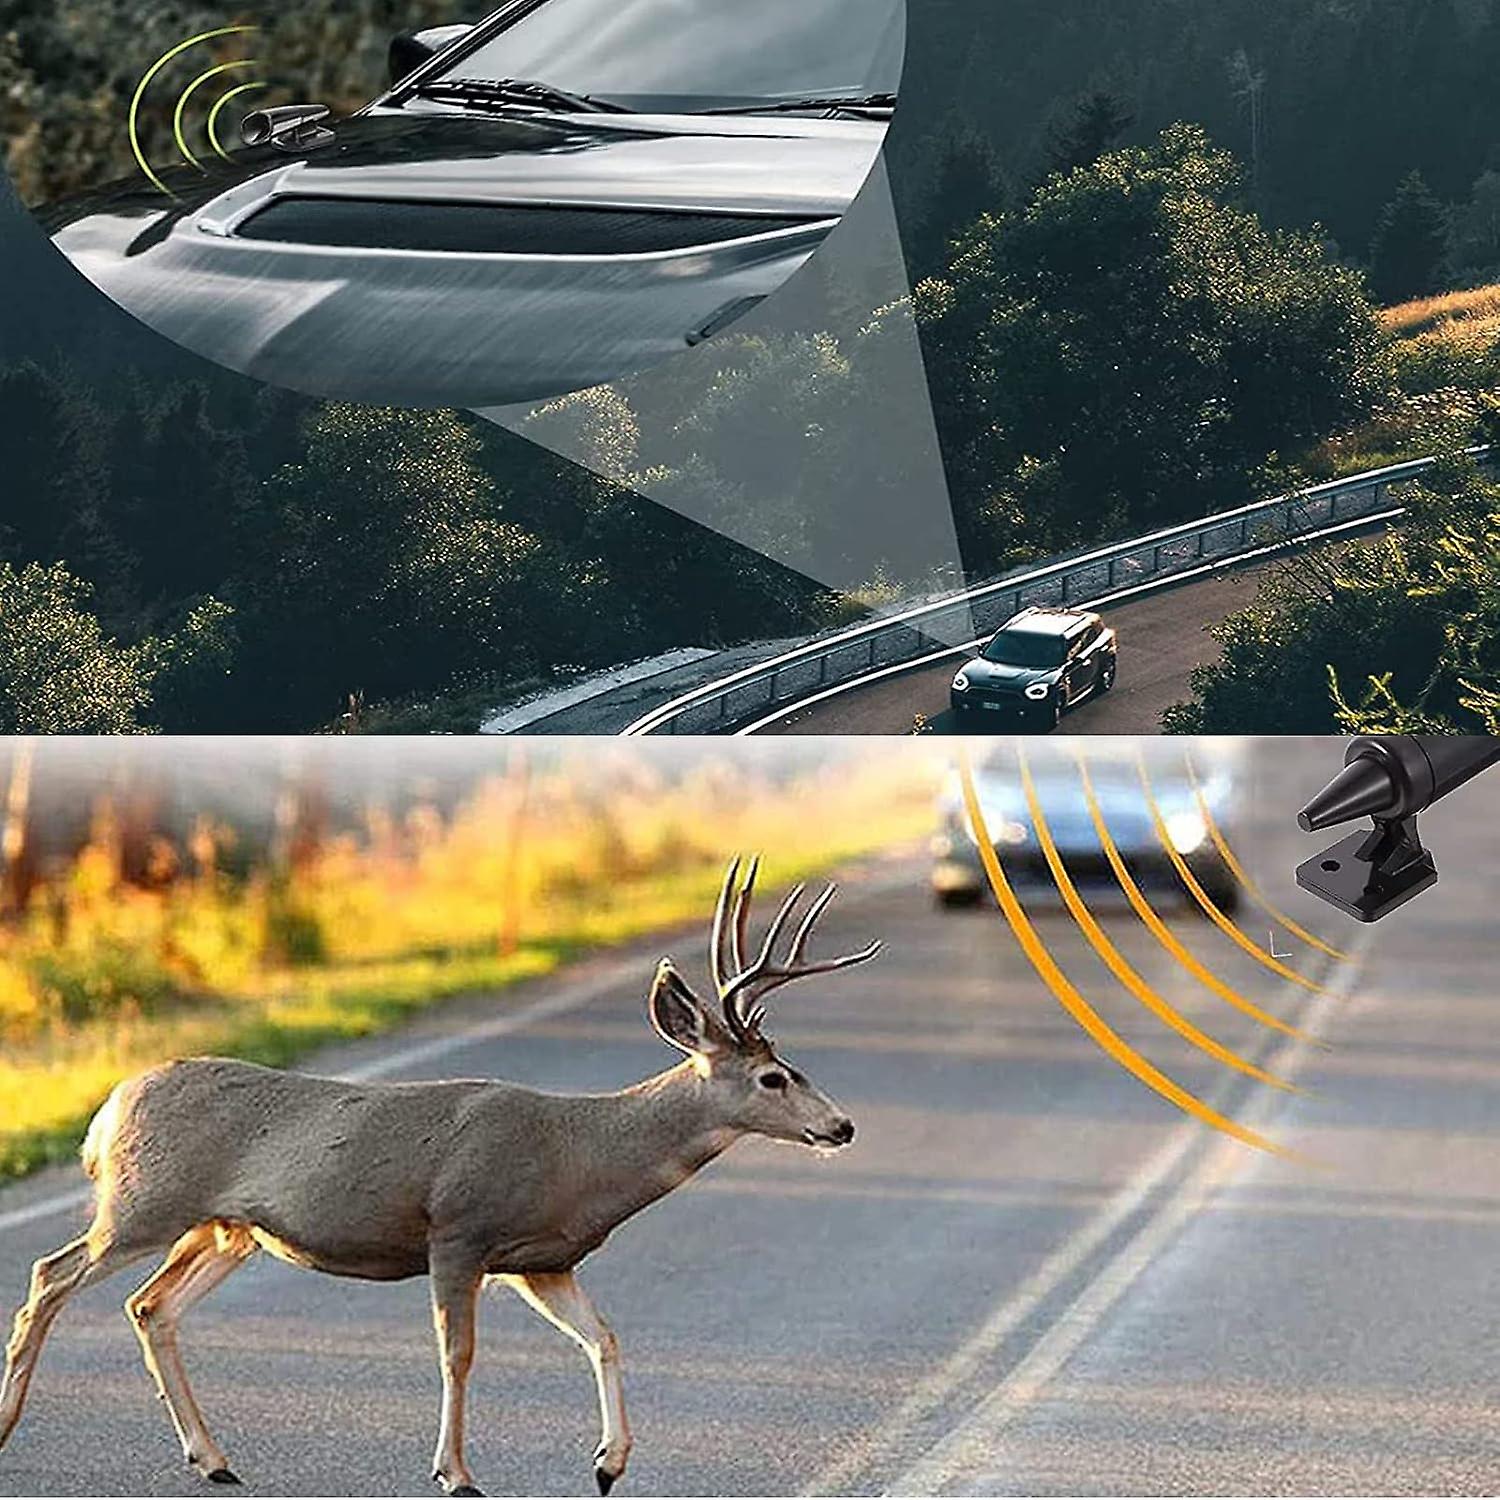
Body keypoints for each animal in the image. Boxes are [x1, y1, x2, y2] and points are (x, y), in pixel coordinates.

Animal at [0, 857, 880, 1496]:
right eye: (773, 1078)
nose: (841, 1126)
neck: (578, 1152)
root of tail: (106, 1113)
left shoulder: (542, 1260)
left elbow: (603, 1336)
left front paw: (608, 1463)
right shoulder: (460, 1230)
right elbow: (457, 1354)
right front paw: (456, 1473)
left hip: (227, 1228)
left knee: (150, 1306)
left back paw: (214, 1459)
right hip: (144, 1201)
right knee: (51, 1274)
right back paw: (13, 1427)